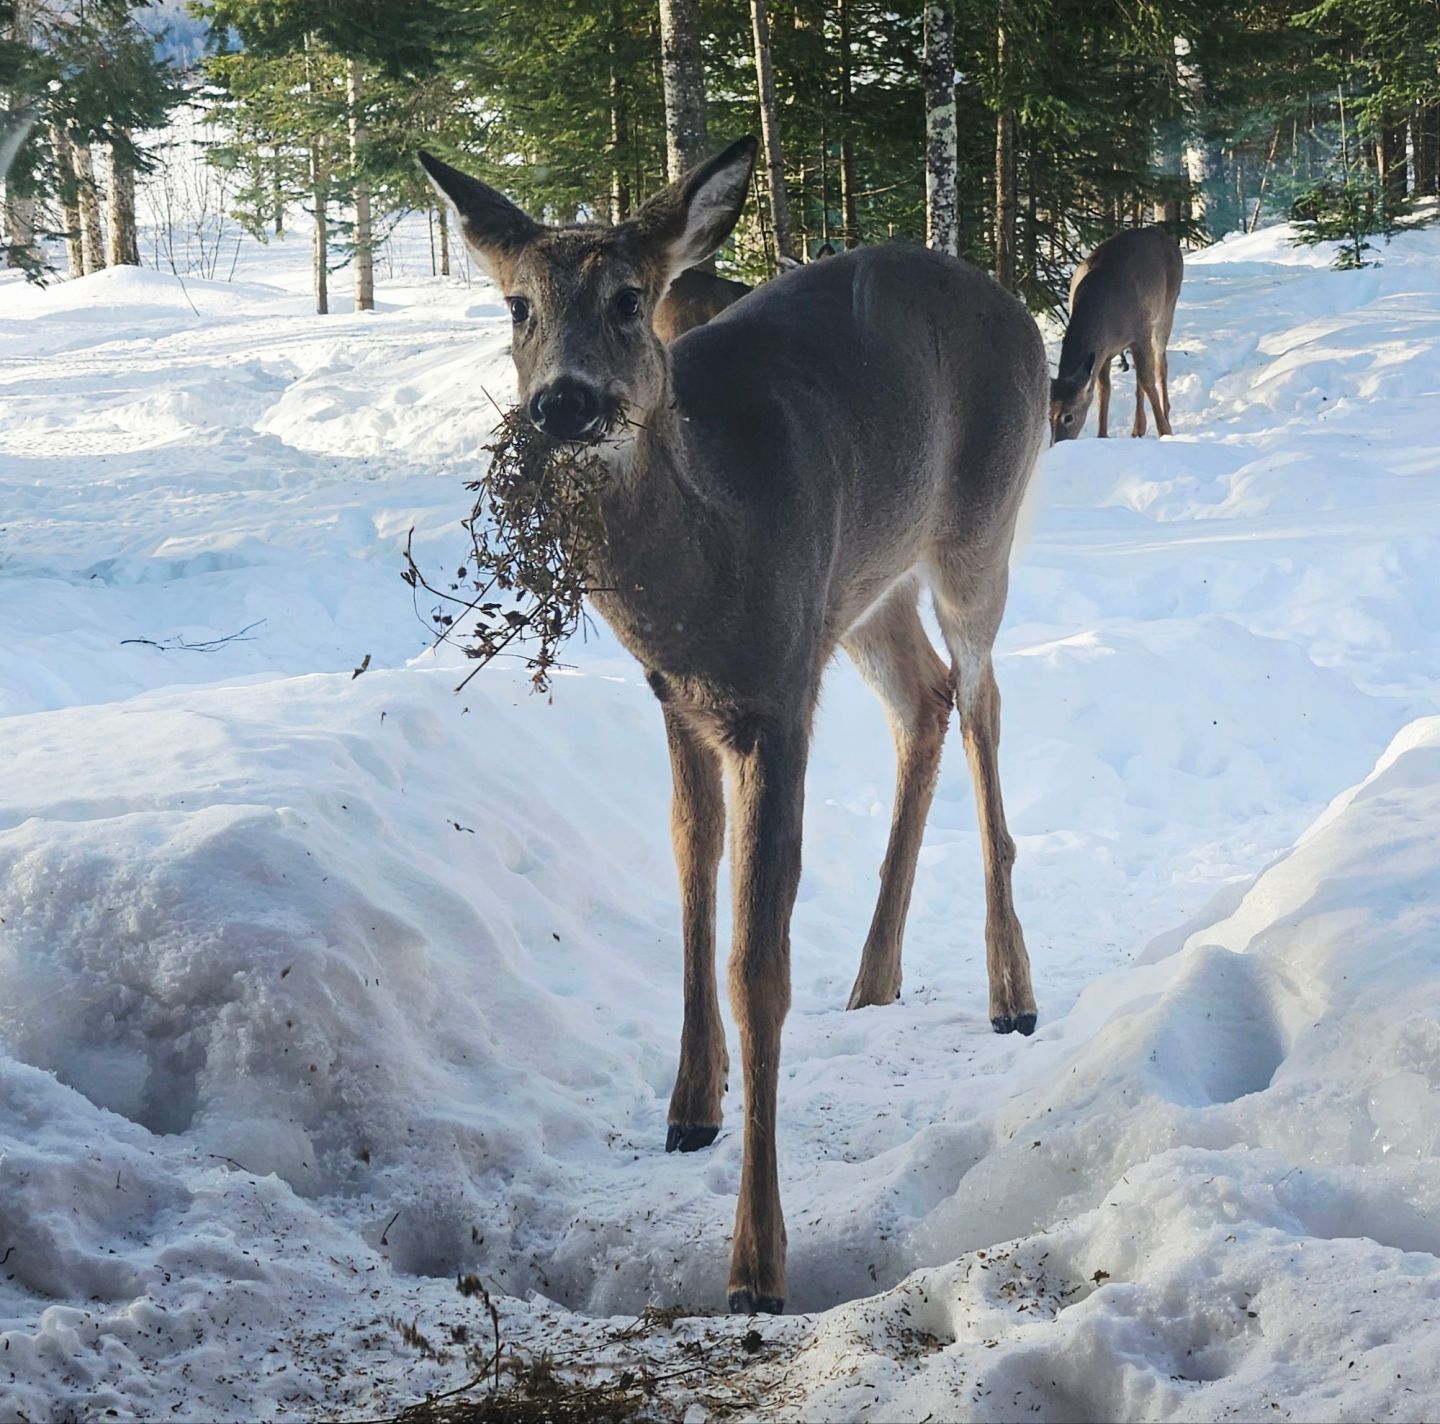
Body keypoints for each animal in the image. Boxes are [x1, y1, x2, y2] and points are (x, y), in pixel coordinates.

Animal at [420, 136, 1048, 1316]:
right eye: (516, 305)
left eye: (630, 297)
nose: (563, 406)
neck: (707, 561)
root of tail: (1014, 306)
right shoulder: (681, 696)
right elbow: (688, 868)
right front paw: (688, 1105)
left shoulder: (777, 695)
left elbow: (758, 961)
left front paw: (757, 1263)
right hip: (862, 585)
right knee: (926, 697)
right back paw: (876, 974)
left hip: (978, 526)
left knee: (984, 699)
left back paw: (1012, 992)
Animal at [1050, 226, 1183, 442]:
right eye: (1048, 415)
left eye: (1068, 416)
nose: (1057, 444)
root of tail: (1162, 233)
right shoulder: (1104, 351)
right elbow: (1104, 389)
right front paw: (1102, 436)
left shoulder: (1140, 331)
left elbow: (1147, 380)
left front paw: (1165, 431)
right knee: (1140, 375)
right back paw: (1138, 427)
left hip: (1167, 308)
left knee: (1160, 365)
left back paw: (1166, 416)